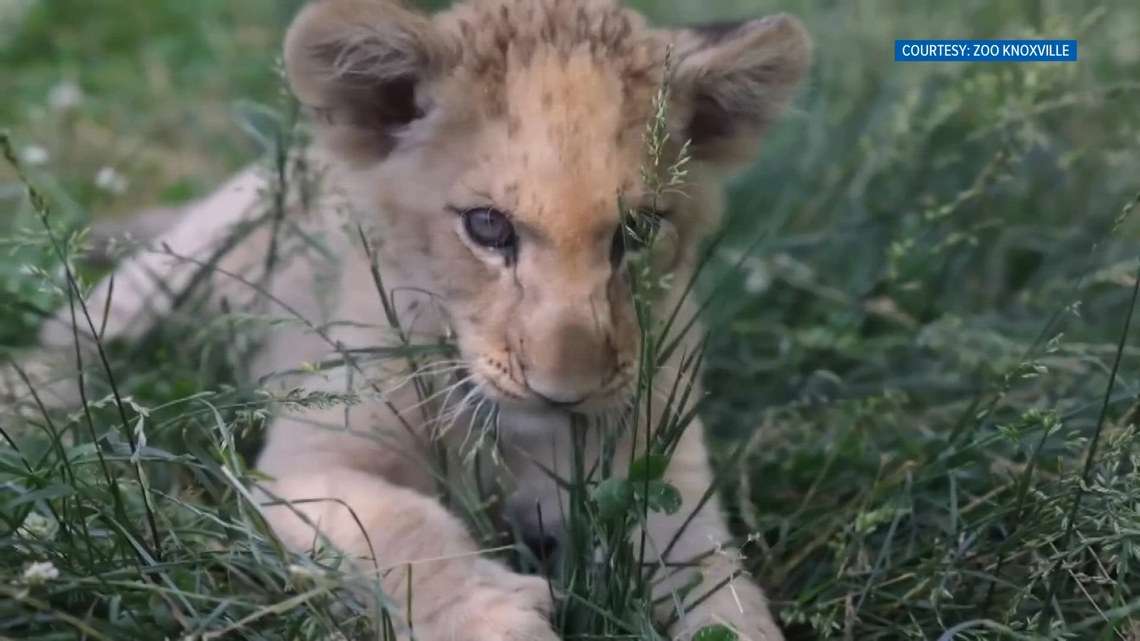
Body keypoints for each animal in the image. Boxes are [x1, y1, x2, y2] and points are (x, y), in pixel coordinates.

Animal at [4, 0, 811, 639]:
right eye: (487, 226)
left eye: (637, 232)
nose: (565, 390)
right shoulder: (306, 465)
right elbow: (405, 529)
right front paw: (500, 620)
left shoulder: (664, 480)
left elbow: (721, 590)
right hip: (185, 262)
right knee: (75, 331)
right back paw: (33, 406)